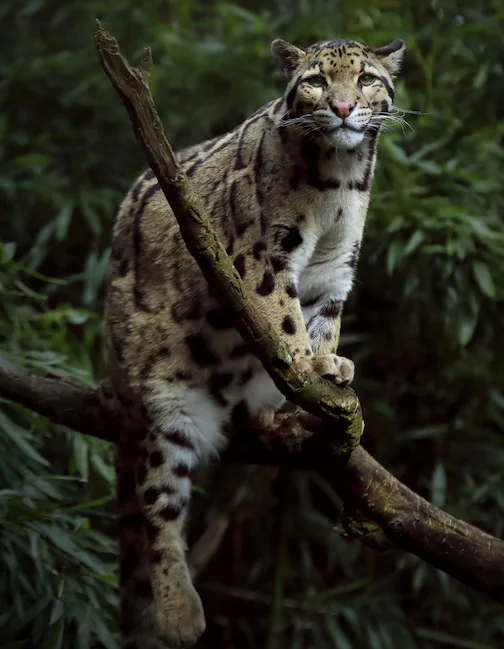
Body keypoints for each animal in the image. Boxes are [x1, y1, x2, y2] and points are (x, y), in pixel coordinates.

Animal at [102, 36, 405, 649]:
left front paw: (327, 366)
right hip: (165, 406)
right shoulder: (263, 255)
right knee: (157, 503)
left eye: (366, 78)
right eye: (316, 80)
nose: (342, 108)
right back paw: (178, 611)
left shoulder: (335, 266)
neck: (341, 182)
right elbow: (281, 317)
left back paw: (265, 411)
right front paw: (307, 366)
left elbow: (322, 319)